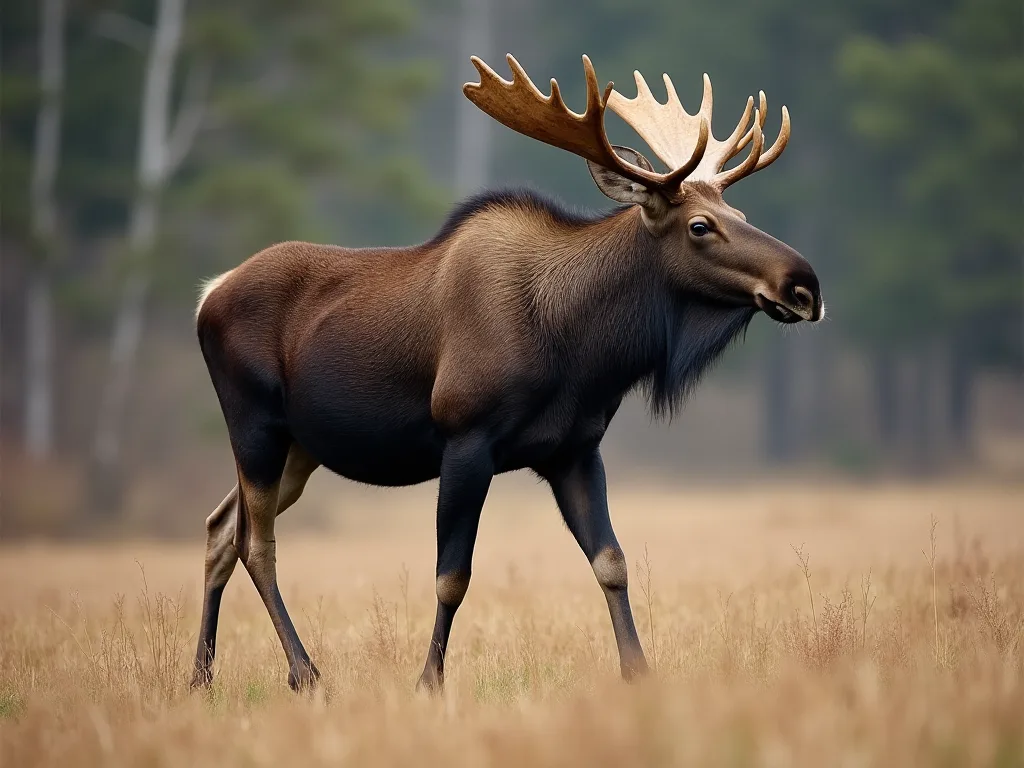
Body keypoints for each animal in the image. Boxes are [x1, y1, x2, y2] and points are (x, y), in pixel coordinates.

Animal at [190, 54, 823, 694]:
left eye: (738, 213)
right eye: (699, 226)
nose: (805, 285)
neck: (581, 351)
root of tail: (207, 295)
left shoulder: (574, 448)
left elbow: (611, 562)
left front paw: (638, 672)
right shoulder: (466, 439)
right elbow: (452, 577)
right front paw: (429, 682)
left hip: (301, 448)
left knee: (221, 529)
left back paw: (201, 676)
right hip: (254, 424)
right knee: (255, 543)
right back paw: (305, 672)